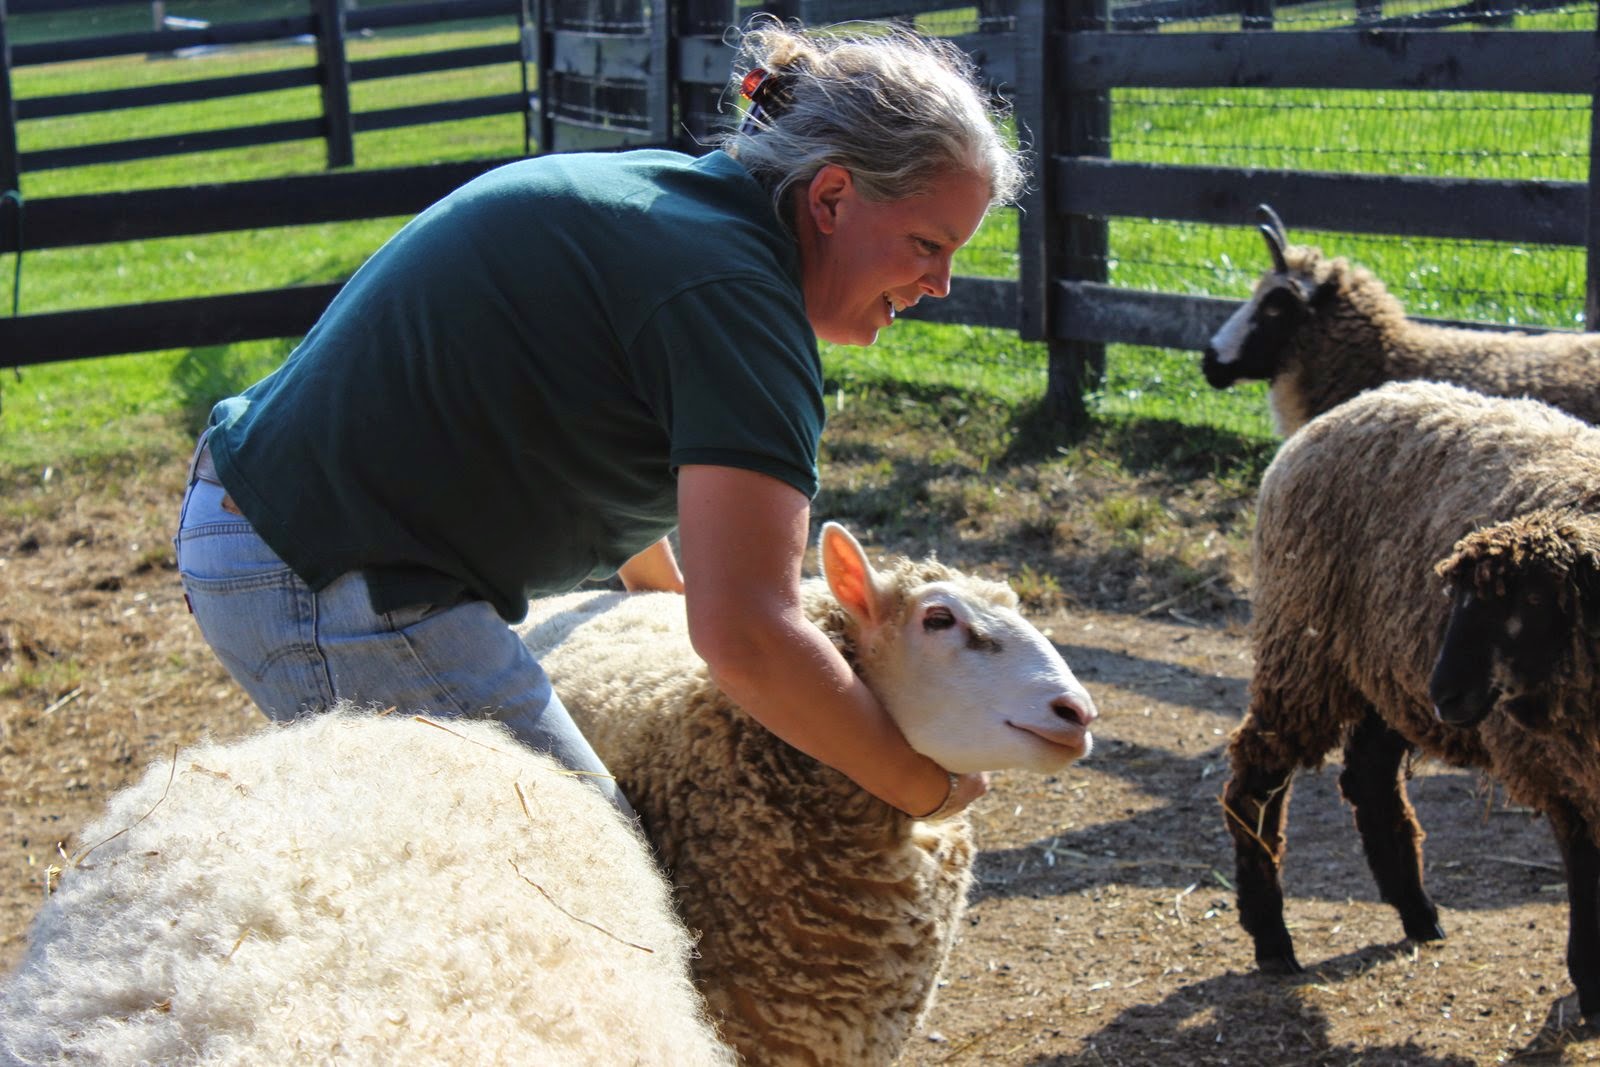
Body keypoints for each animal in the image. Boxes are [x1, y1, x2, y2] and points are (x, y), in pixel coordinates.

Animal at [1222, 380, 1600, 1019]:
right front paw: (1589, 985)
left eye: (1533, 602)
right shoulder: (1558, 766)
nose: (1446, 690)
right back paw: (1271, 938)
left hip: (1388, 675)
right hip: (1304, 647)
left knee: (1369, 779)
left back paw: (1417, 913)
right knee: (1257, 777)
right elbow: (1583, 864)